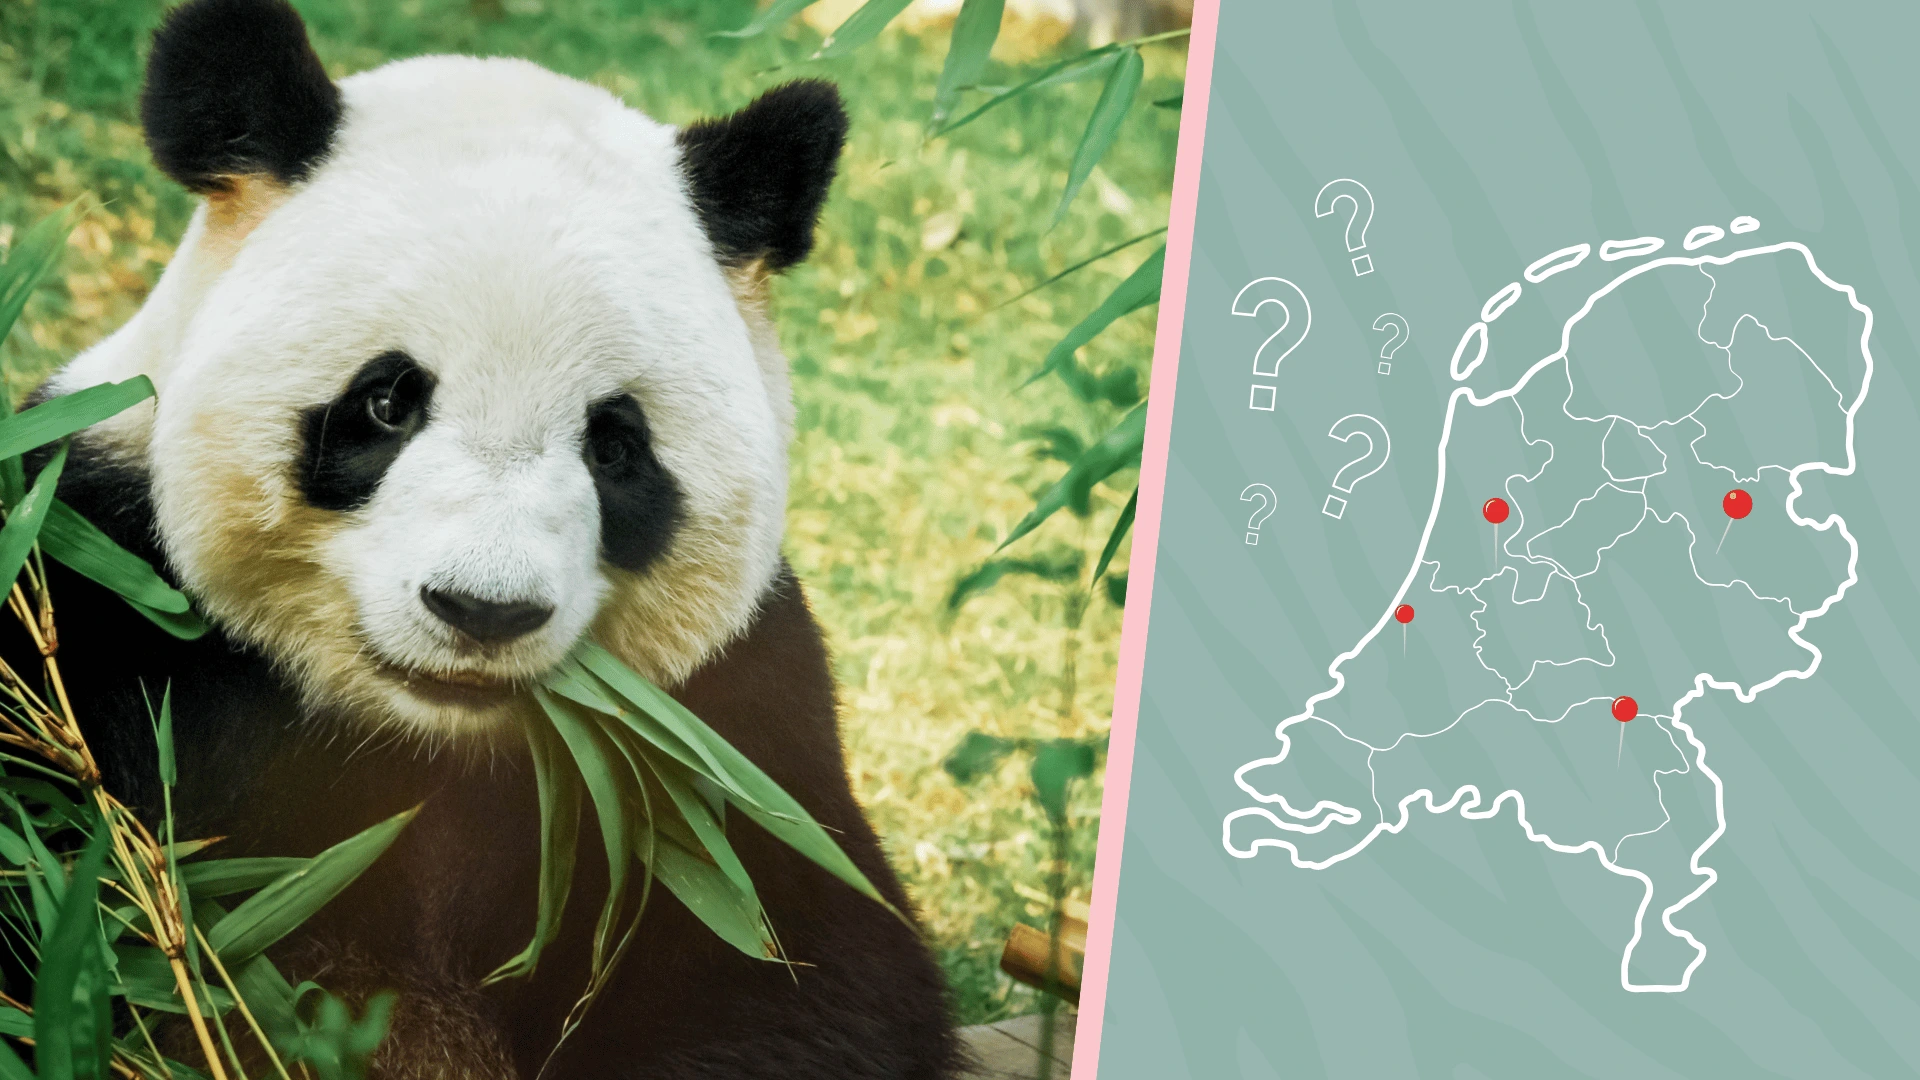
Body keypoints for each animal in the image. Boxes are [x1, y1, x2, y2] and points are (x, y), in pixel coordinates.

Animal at [16, 0, 962, 1076]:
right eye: (387, 402)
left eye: (615, 444)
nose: (482, 610)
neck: (421, 738)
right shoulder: (97, 590)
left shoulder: (728, 718)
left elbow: (798, 962)